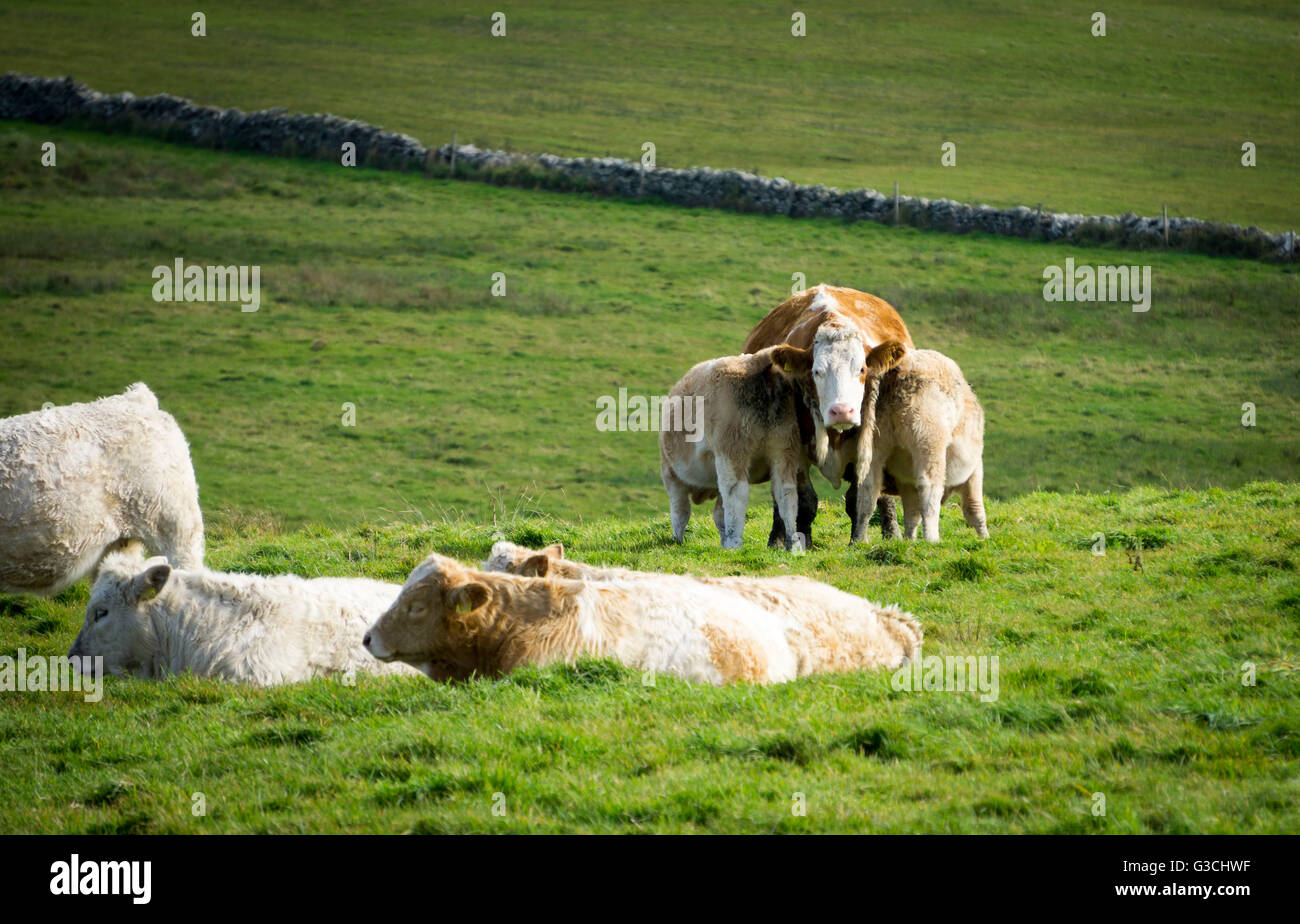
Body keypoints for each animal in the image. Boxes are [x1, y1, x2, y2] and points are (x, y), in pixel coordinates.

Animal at [743, 284, 915, 545]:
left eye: (862, 369)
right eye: (816, 372)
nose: (842, 411)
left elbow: (858, 498)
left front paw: (858, 542)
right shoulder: (794, 447)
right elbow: (804, 501)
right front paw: (804, 543)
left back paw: (892, 533)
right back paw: (777, 539)